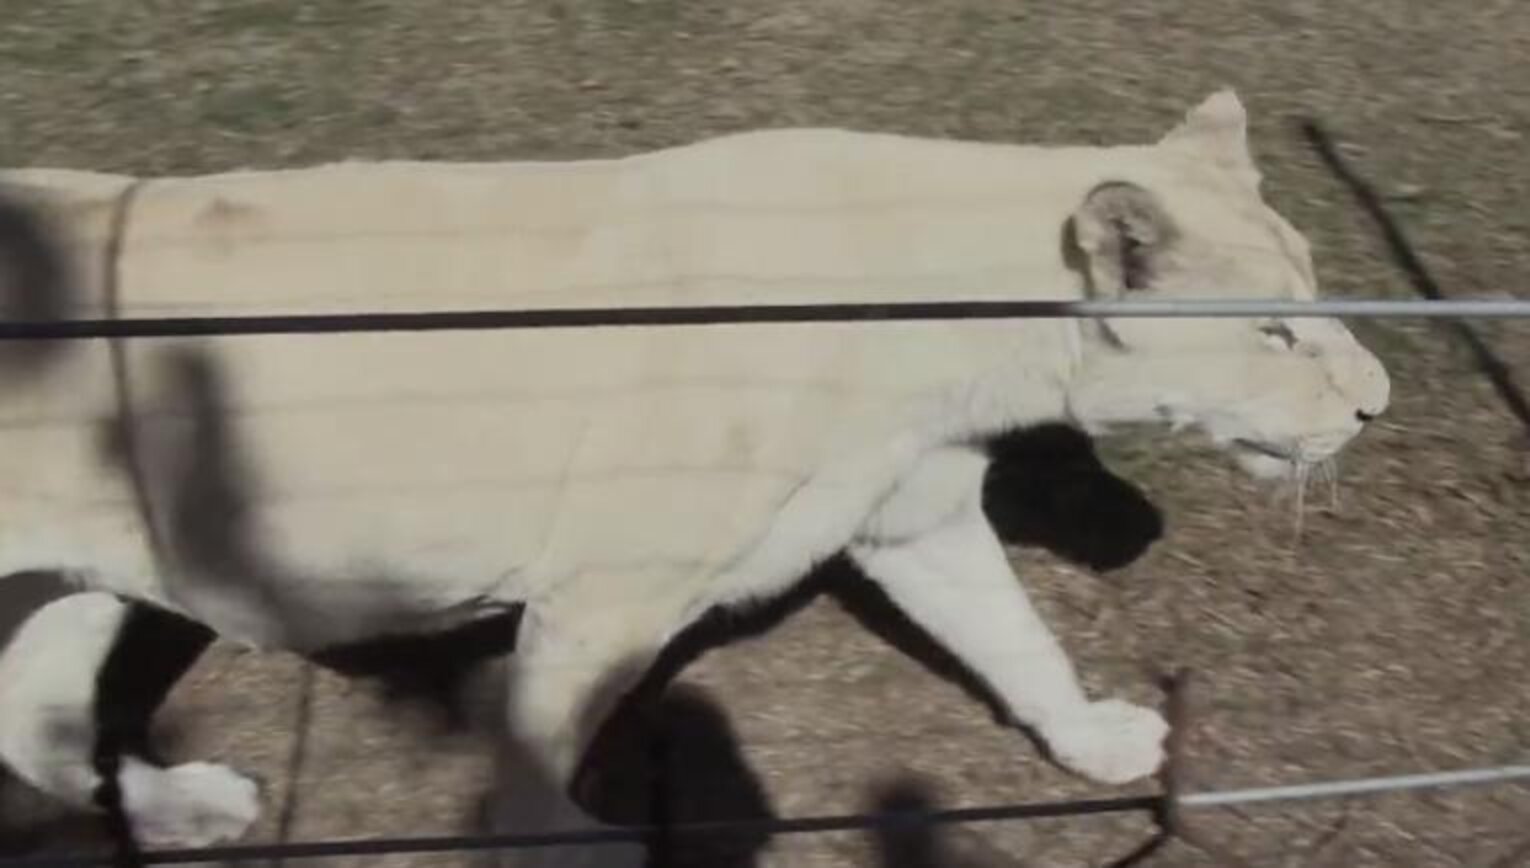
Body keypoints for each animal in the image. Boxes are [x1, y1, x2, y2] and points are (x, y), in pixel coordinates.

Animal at [0, 90, 1386, 866]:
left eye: (1317, 298)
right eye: (1276, 333)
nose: (1376, 402)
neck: (973, 325)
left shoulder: (916, 512)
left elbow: (1014, 634)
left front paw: (1094, 739)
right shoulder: (607, 589)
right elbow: (531, 766)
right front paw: (572, 855)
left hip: (70, 586)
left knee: (37, 723)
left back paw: (182, 811)